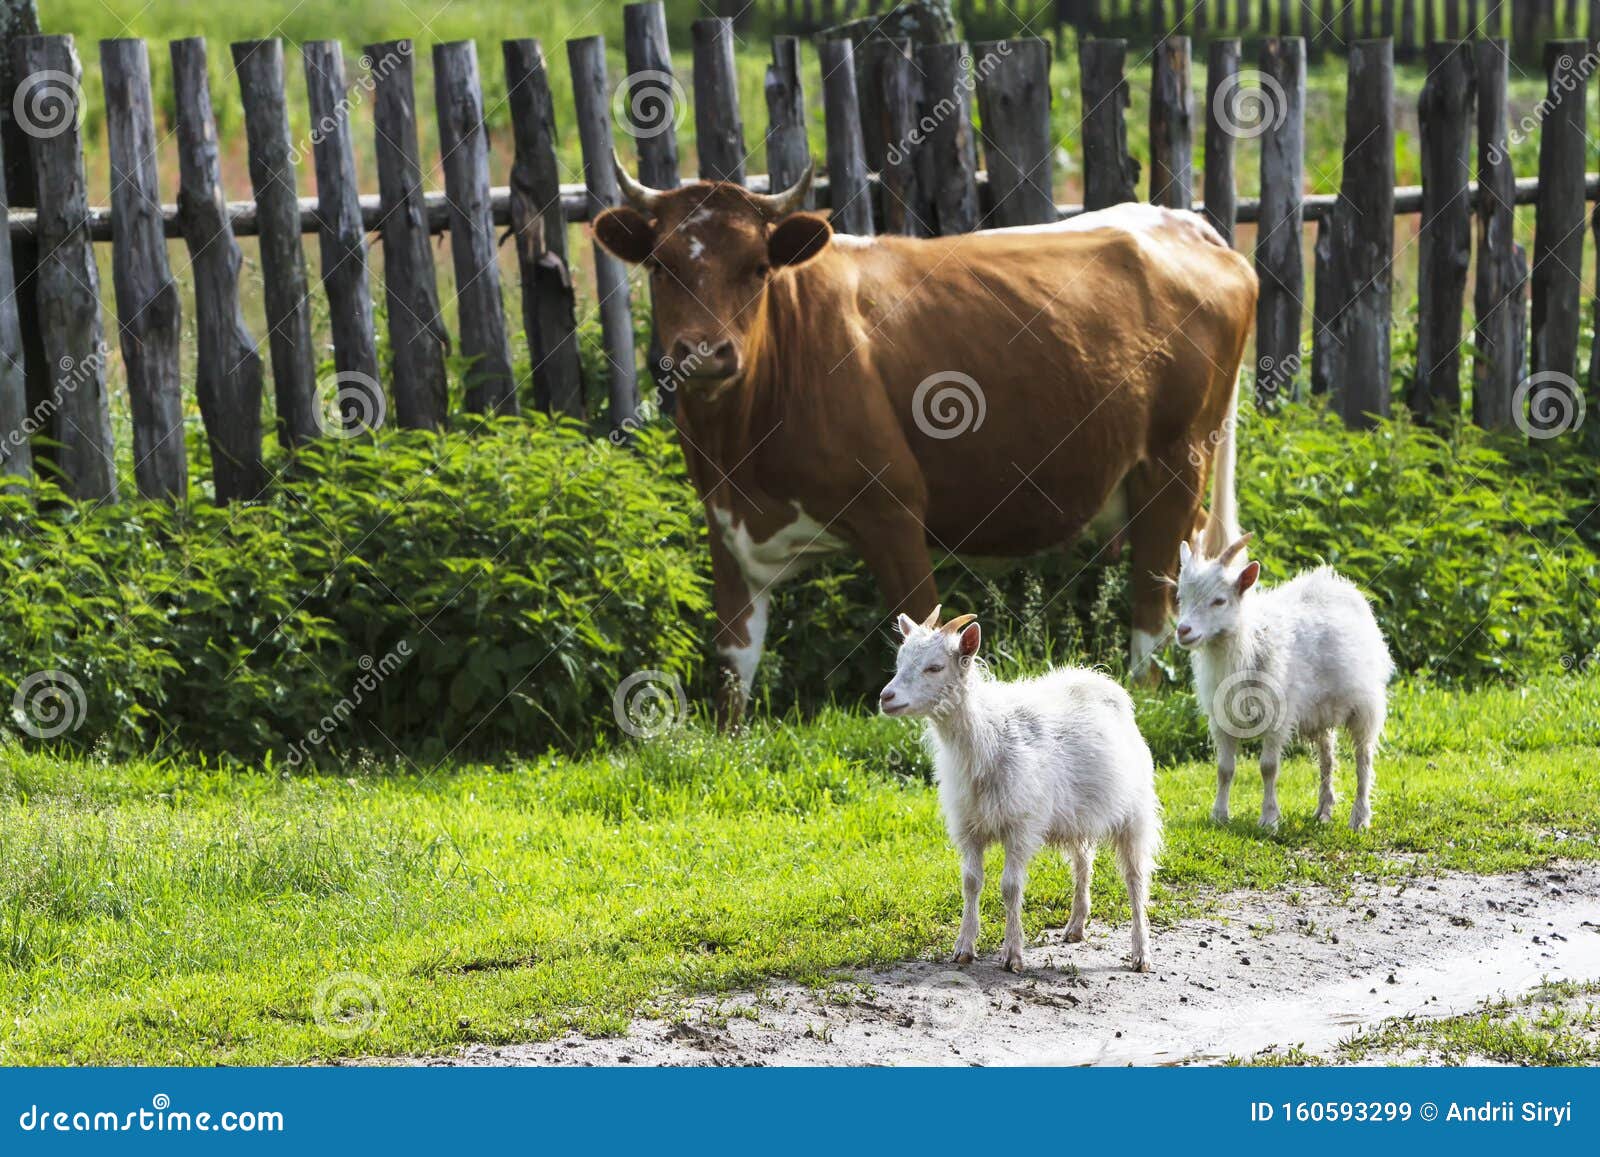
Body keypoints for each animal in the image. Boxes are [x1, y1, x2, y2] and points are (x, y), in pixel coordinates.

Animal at [594, 156, 1259, 725]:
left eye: (757, 267)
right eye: (660, 266)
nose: (705, 352)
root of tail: (1186, 223)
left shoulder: (891, 511)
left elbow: (920, 620)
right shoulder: (725, 526)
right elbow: (735, 666)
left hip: (1174, 463)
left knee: (1153, 608)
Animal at [880, 608, 1161, 973]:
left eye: (935, 667)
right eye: (899, 661)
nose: (886, 697)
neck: (988, 735)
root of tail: (1099, 681)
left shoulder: (1020, 825)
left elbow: (1010, 887)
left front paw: (1012, 953)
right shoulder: (969, 825)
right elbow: (971, 882)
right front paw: (964, 947)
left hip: (1135, 812)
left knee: (1135, 877)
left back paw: (1141, 952)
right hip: (1079, 814)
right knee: (1083, 864)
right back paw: (1076, 926)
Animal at [1175, 535, 1395, 831]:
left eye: (1219, 601)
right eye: (1180, 597)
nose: (1183, 630)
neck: (1249, 640)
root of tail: (1334, 580)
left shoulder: (1278, 715)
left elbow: (1268, 767)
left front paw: (1269, 818)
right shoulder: (1222, 718)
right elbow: (1224, 769)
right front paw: (1219, 815)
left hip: (1365, 706)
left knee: (1364, 758)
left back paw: (1359, 817)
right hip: (1321, 712)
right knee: (1327, 758)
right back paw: (1324, 810)